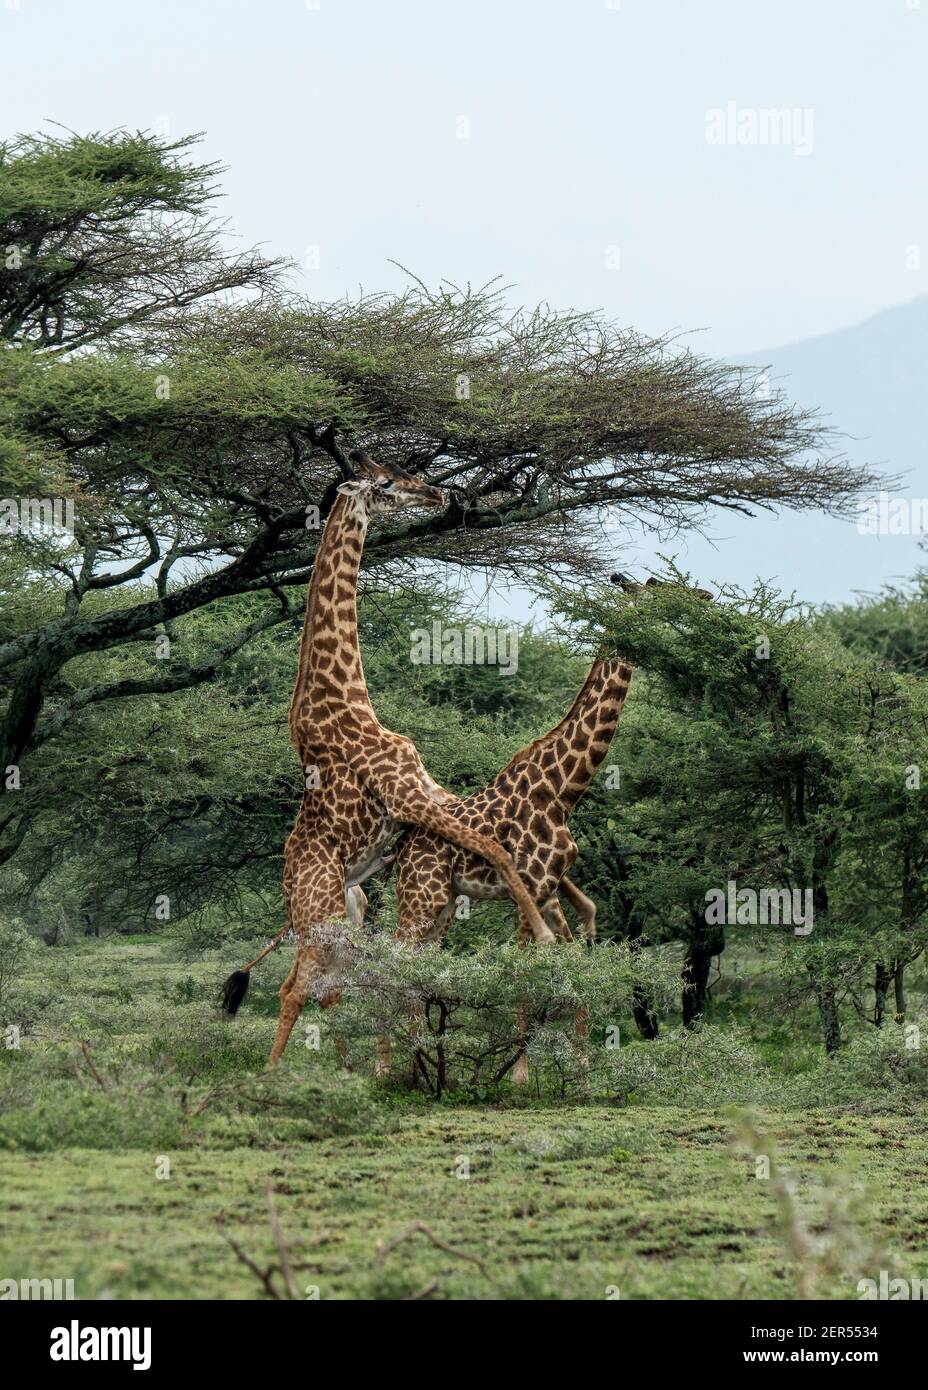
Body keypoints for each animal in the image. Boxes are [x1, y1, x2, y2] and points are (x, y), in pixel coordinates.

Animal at [221, 447, 556, 1065]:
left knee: (328, 986)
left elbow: (488, 835)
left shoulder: (425, 785)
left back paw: (339, 1071)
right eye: (386, 483)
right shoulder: (403, 795)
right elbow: (492, 846)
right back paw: (275, 1076)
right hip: (323, 915)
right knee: (295, 986)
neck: (347, 695)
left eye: (400, 470)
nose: (438, 493)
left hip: (346, 912)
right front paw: (544, 934)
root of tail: (287, 892)